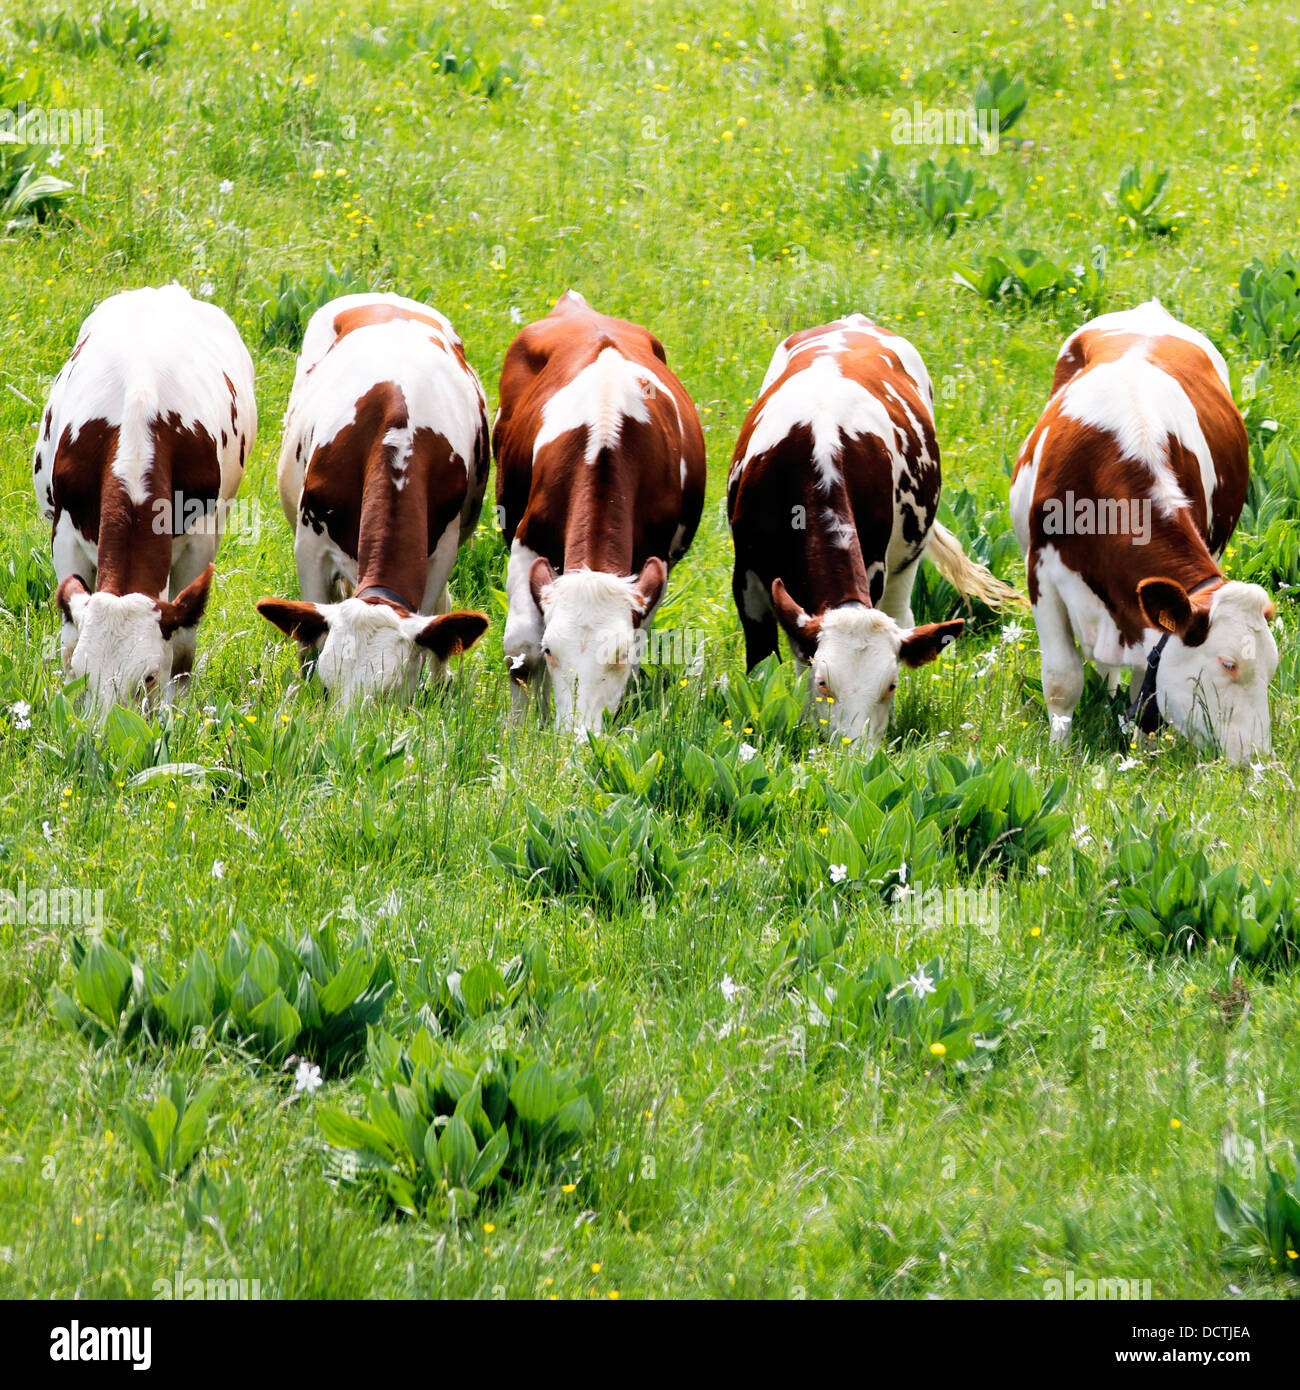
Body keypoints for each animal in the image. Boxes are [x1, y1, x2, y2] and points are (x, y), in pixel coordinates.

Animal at [35, 284, 256, 713]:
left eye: (149, 677)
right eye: (85, 675)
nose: (106, 726)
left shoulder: (198, 542)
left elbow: (183, 647)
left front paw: (175, 712)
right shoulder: (65, 532)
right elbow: (69, 640)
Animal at [493, 290, 707, 735]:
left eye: (620, 655)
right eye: (551, 649)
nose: (577, 737)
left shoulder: (654, 561)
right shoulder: (527, 538)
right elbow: (521, 652)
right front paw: (519, 729)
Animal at [728, 314, 1024, 749]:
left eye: (891, 685)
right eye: (823, 683)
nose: (854, 753)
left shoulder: (877, 568)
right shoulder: (747, 579)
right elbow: (767, 658)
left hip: (907, 559)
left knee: (902, 611)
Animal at [1010, 299, 1278, 764]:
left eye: (1272, 668)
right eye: (1228, 663)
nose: (1256, 760)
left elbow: (1144, 683)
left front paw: (1142, 753)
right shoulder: (1041, 574)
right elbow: (1062, 678)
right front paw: (1059, 752)